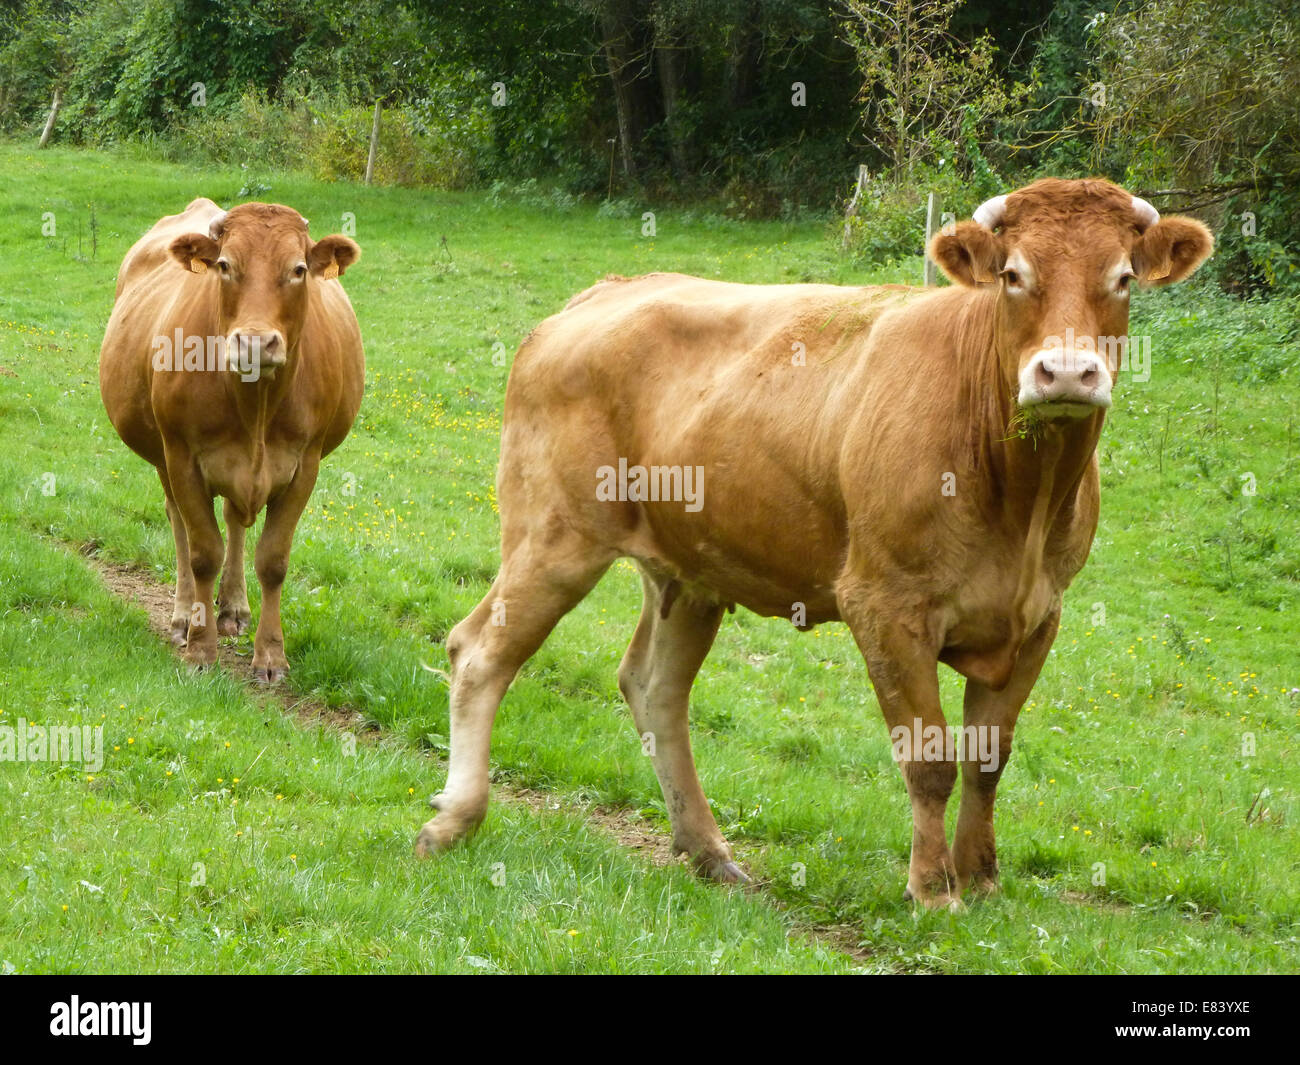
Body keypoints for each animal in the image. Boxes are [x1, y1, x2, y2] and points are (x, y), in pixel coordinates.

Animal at [99, 199, 363, 683]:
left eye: (298, 269)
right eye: (224, 266)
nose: (255, 343)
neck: (255, 404)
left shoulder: (306, 465)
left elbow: (273, 561)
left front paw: (271, 655)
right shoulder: (182, 457)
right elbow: (204, 551)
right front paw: (200, 649)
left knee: (234, 522)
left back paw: (234, 608)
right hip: (163, 457)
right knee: (179, 524)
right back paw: (185, 615)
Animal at [415, 177, 1212, 909]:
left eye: (1123, 277)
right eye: (1014, 275)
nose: (1068, 373)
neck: (1025, 498)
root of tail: (603, 293)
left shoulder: (1040, 615)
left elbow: (989, 758)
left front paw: (982, 878)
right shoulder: (885, 605)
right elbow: (929, 757)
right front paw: (934, 890)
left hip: (690, 569)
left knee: (654, 688)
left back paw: (707, 849)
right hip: (554, 533)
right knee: (481, 651)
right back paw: (455, 818)